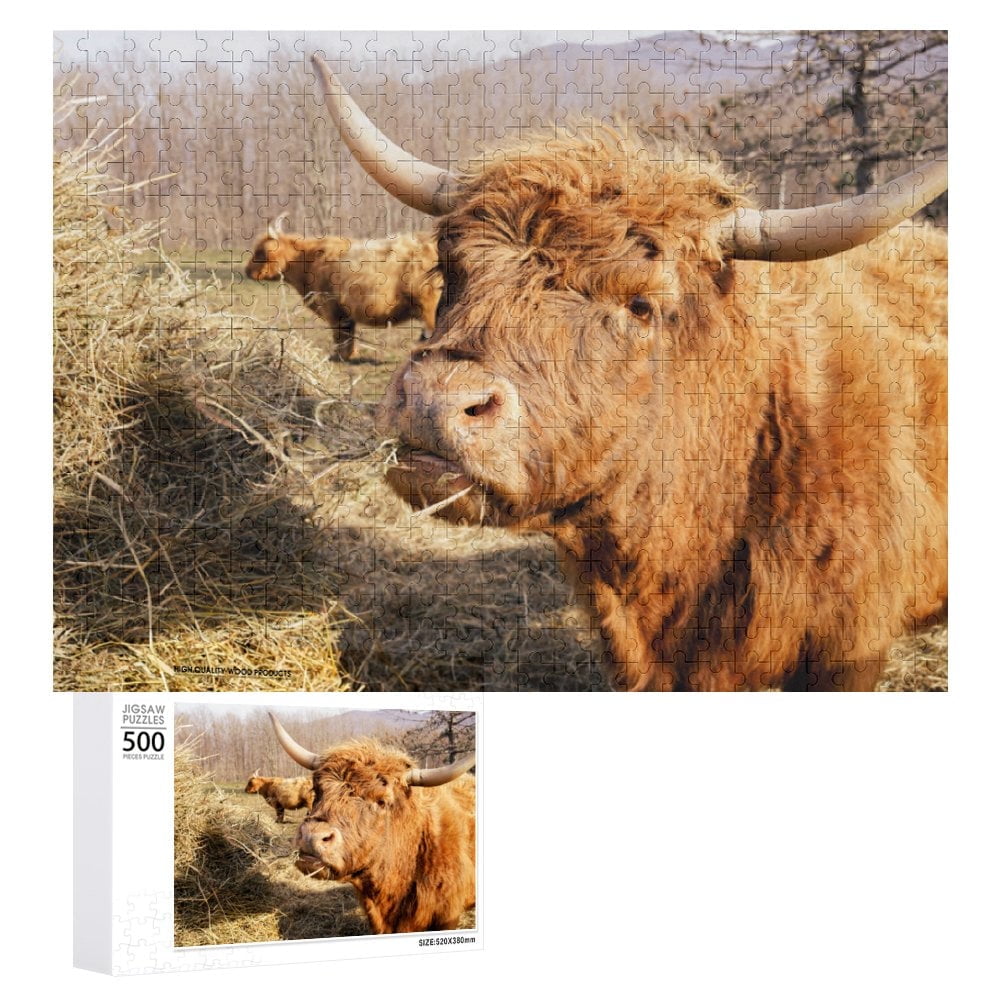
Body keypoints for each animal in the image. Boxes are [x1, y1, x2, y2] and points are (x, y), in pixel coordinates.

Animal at [245, 216, 441, 361]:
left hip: (429, 307)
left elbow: (339, 335)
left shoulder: (331, 307)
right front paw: (350, 355)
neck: (306, 260)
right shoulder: (346, 311)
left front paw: (339, 356)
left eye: (261, 252)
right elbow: (348, 334)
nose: (247, 271)